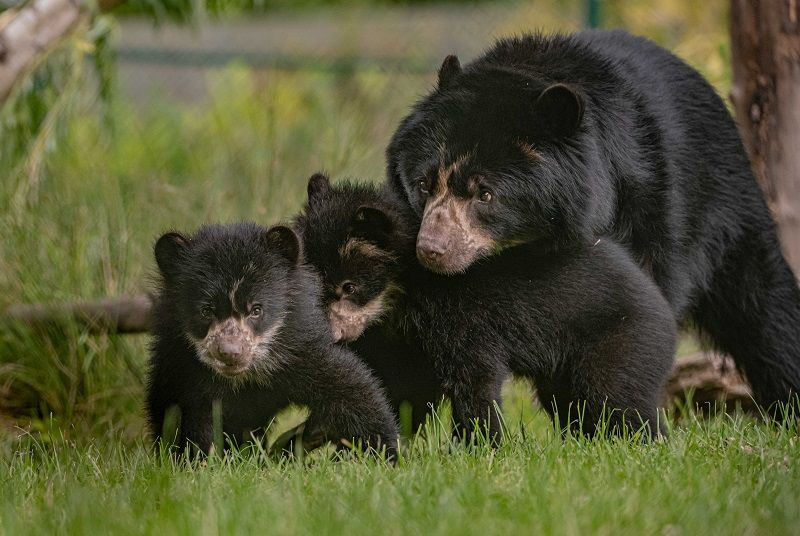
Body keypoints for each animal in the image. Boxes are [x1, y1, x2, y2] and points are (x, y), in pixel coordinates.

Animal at [146, 222, 399, 458]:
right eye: (206, 311)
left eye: (256, 310)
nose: (230, 353)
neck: (246, 379)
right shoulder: (181, 370)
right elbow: (183, 420)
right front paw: (199, 459)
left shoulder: (301, 349)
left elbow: (351, 389)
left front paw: (383, 454)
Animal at [385, 30, 800, 417]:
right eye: (423, 184)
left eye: (484, 194)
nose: (432, 250)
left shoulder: (644, 203)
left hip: (725, 207)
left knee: (762, 304)